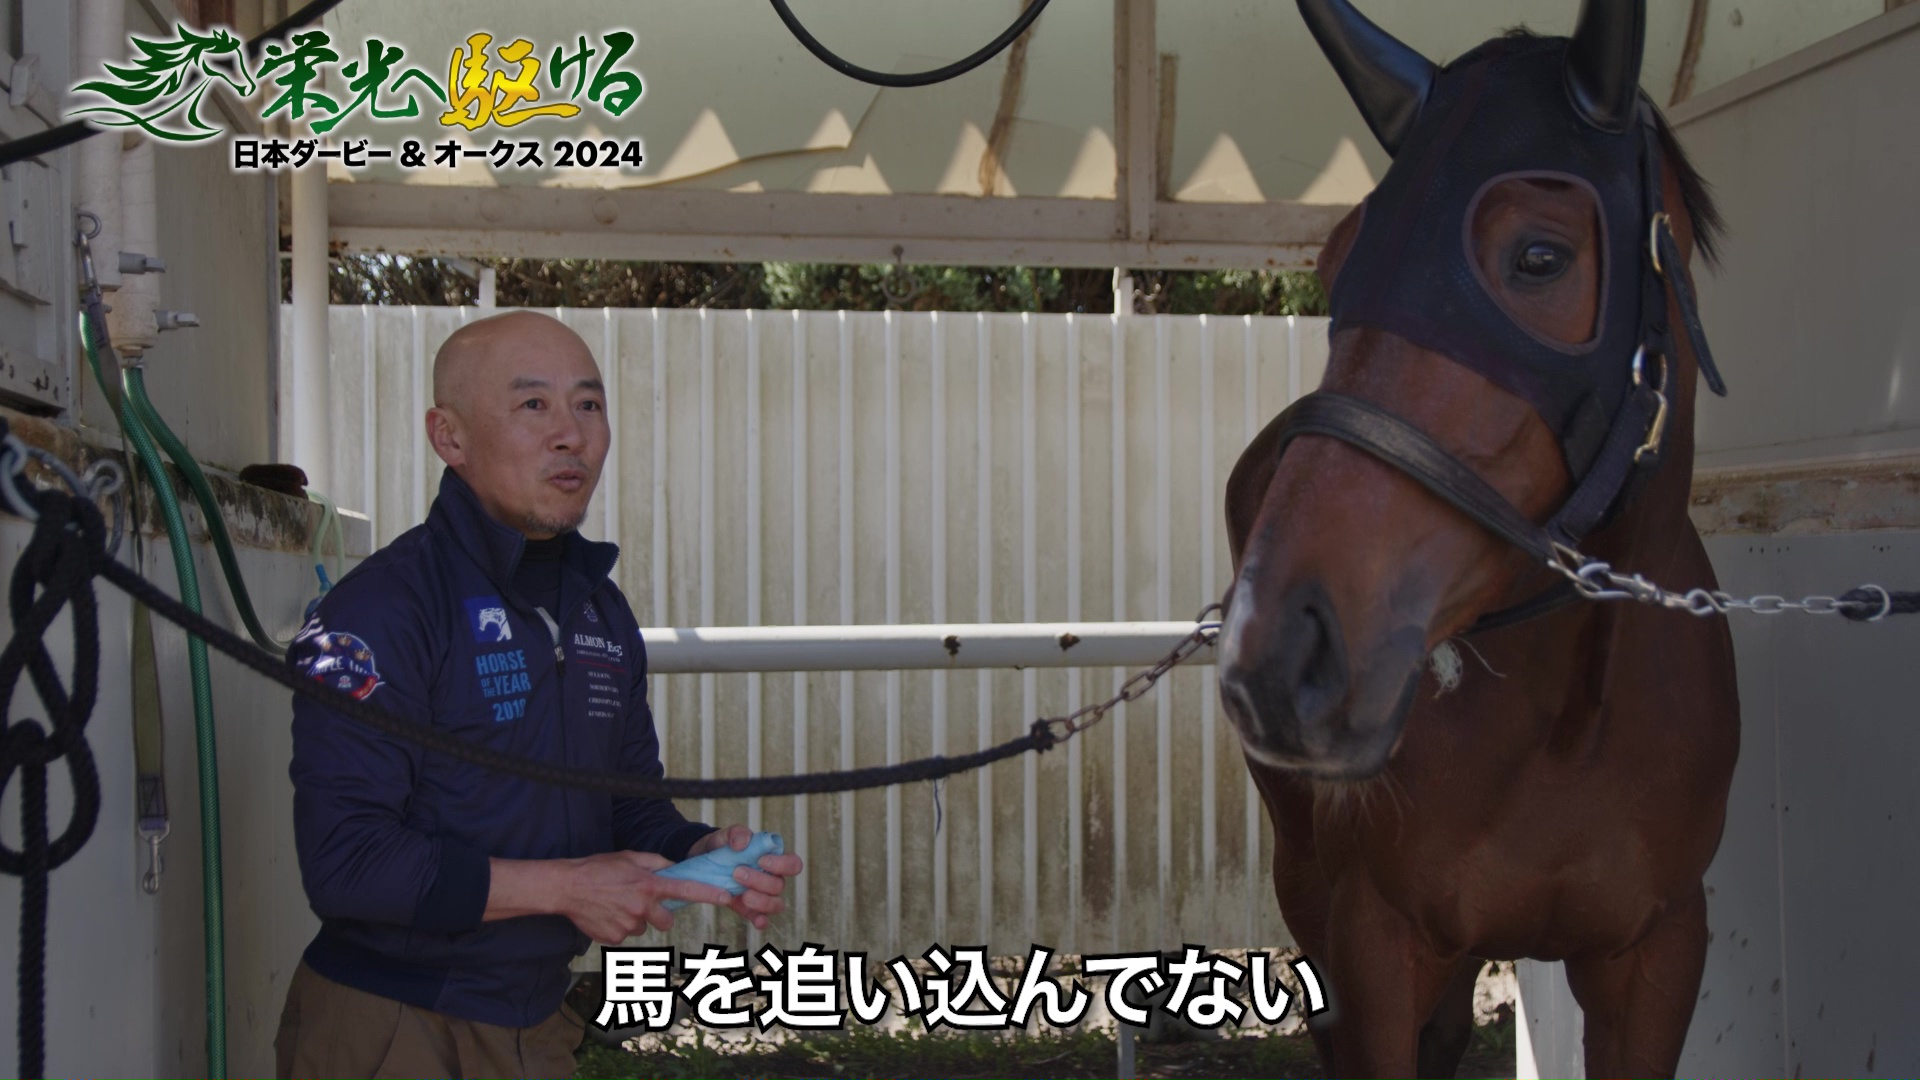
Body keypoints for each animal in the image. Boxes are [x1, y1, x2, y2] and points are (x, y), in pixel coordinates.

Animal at [1217, 1, 1739, 1077]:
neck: (1572, 724)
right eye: (1338, 261)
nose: (1277, 649)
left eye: (1539, 256)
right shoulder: (1374, 947)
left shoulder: (1658, 955)